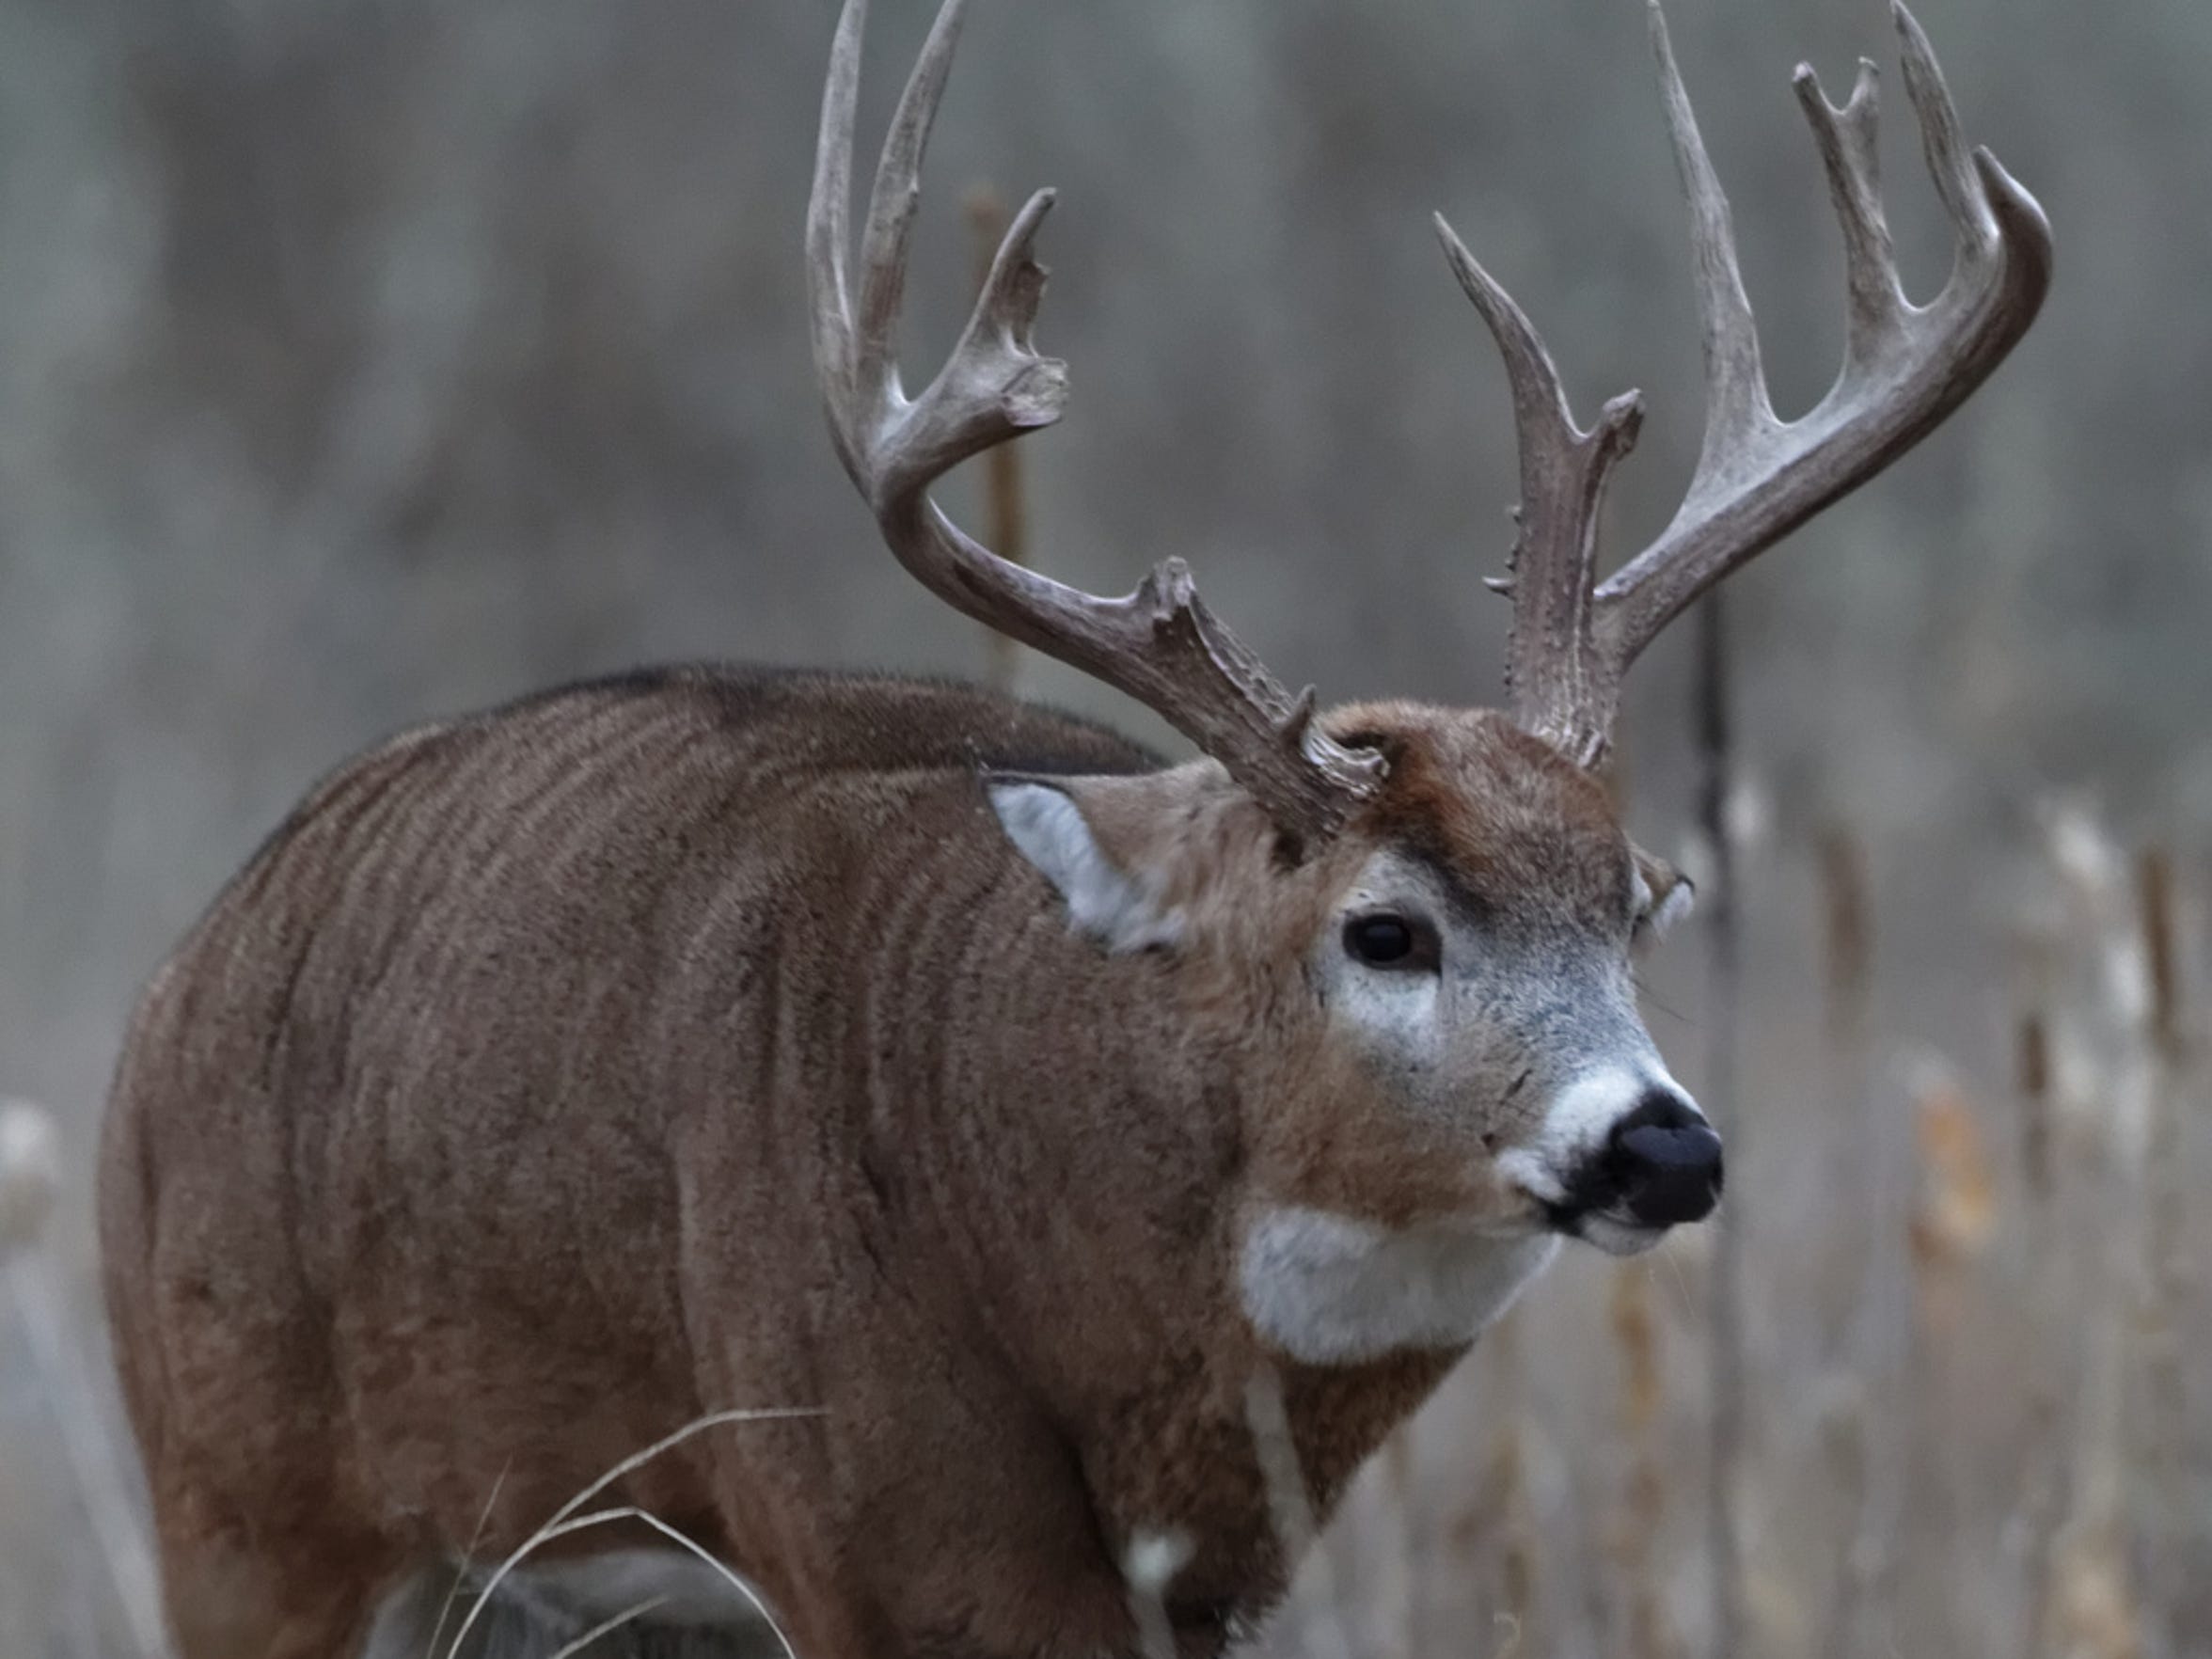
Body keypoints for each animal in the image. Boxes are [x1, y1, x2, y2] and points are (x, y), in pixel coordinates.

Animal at [97, 0, 2048, 1655]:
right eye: (1385, 924)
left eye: (1640, 899)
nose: (1662, 1143)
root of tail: (184, 970)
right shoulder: (868, 1528)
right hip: (242, 1492)